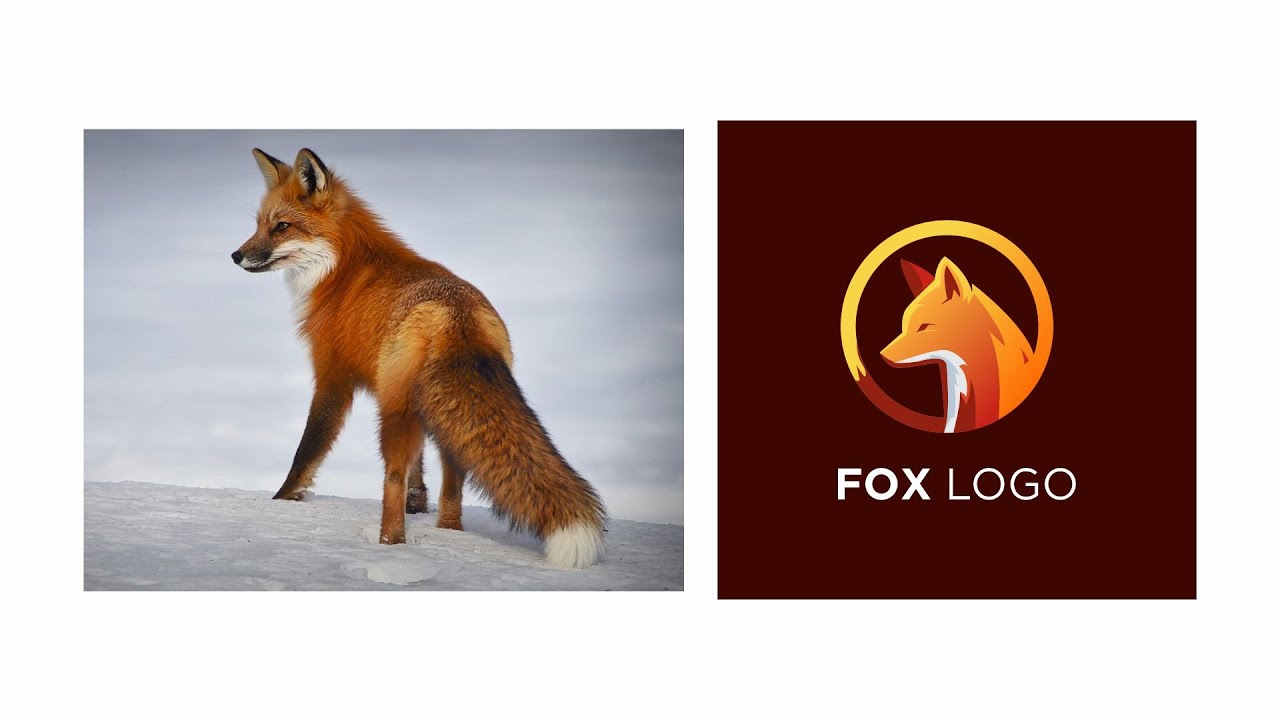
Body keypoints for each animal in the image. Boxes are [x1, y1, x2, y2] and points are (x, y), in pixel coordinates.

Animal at [231, 148, 606, 568]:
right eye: (259, 224)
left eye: (282, 226)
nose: (236, 255)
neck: (342, 269)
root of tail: (456, 315)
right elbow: (419, 472)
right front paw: (419, 504)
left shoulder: (333, 376)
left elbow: (308, 450)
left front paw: (282, 501)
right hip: (437, 413)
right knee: (453, 482)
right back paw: (448, 533)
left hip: (394, 412)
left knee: (392, 478)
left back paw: (389, 544)